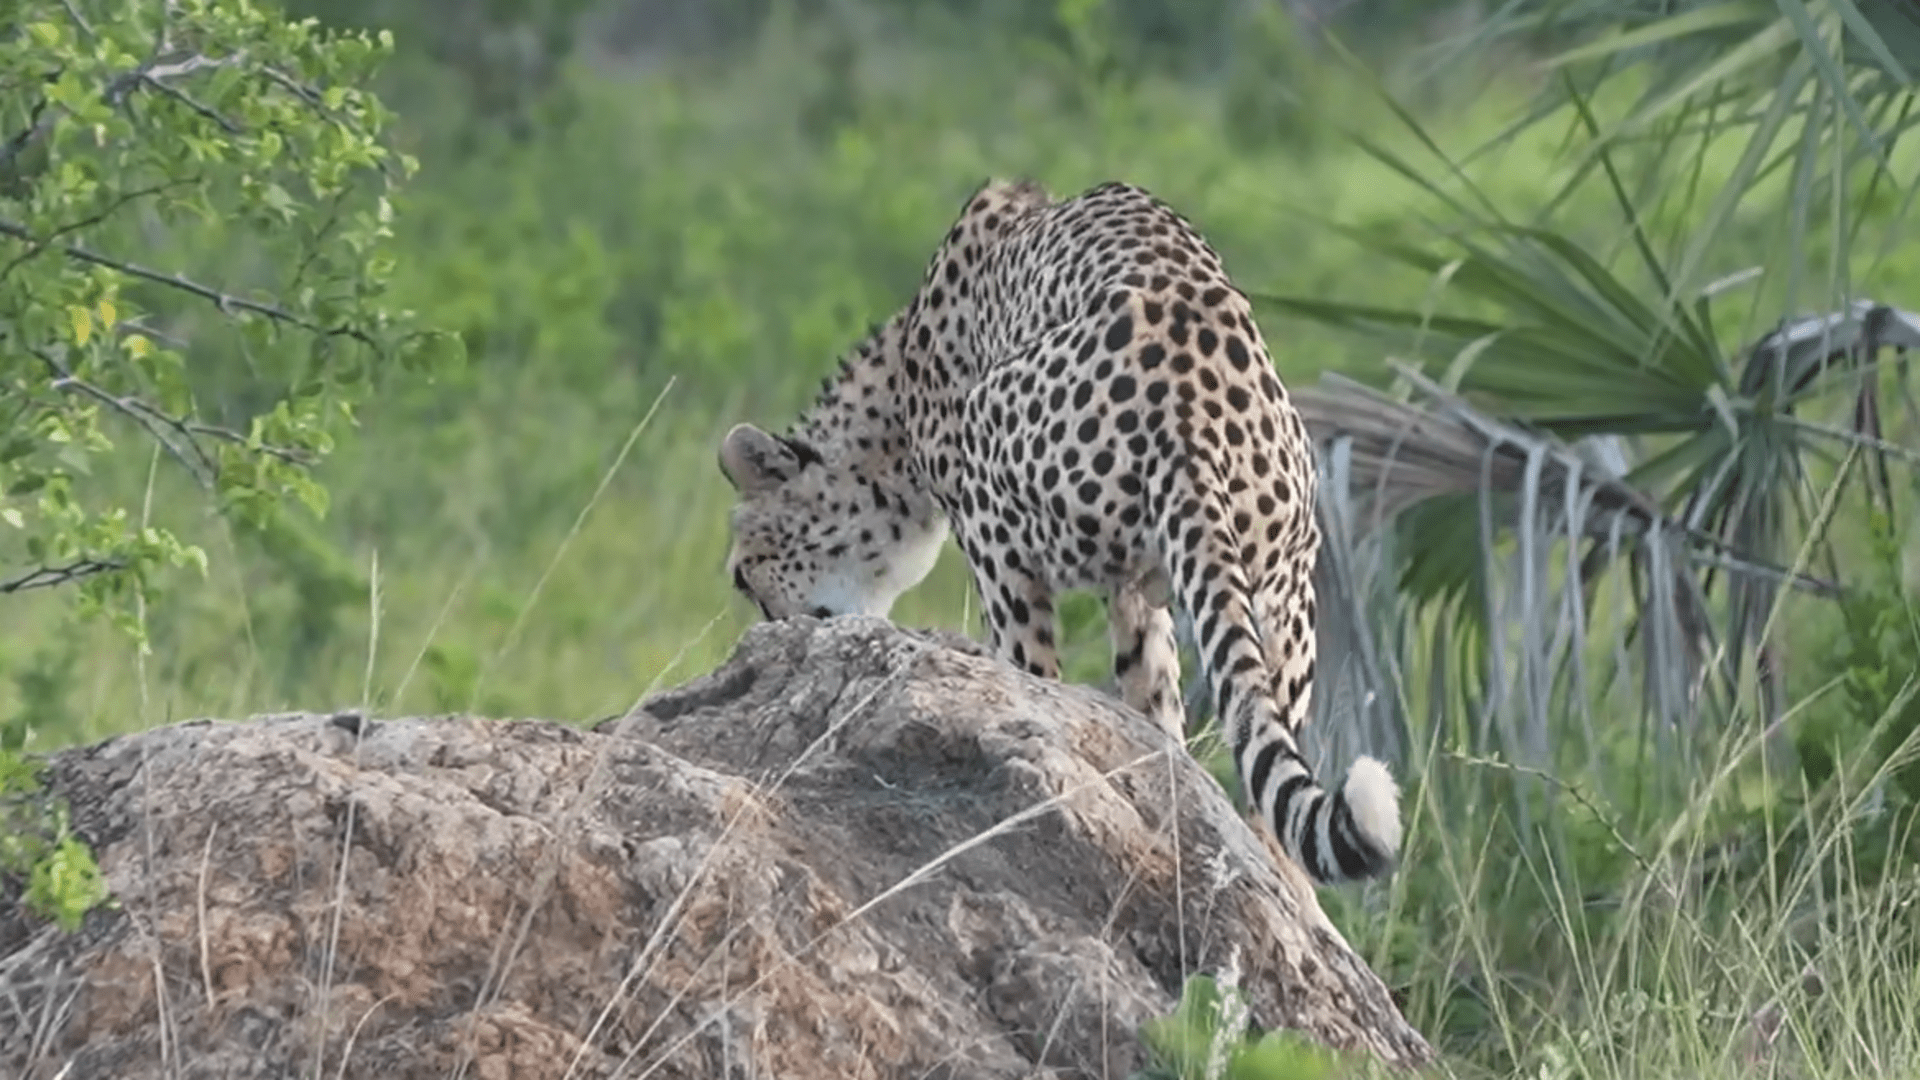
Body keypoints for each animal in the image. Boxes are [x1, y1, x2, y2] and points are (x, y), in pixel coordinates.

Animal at [718, 178, 1401, 885]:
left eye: (744, 575)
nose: (772, 628)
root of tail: (1187, 416)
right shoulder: (1139, 590)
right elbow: (1159, 716)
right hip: (1289, 582)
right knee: (1272, 798)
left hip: (992, 480)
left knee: (1032, 670)